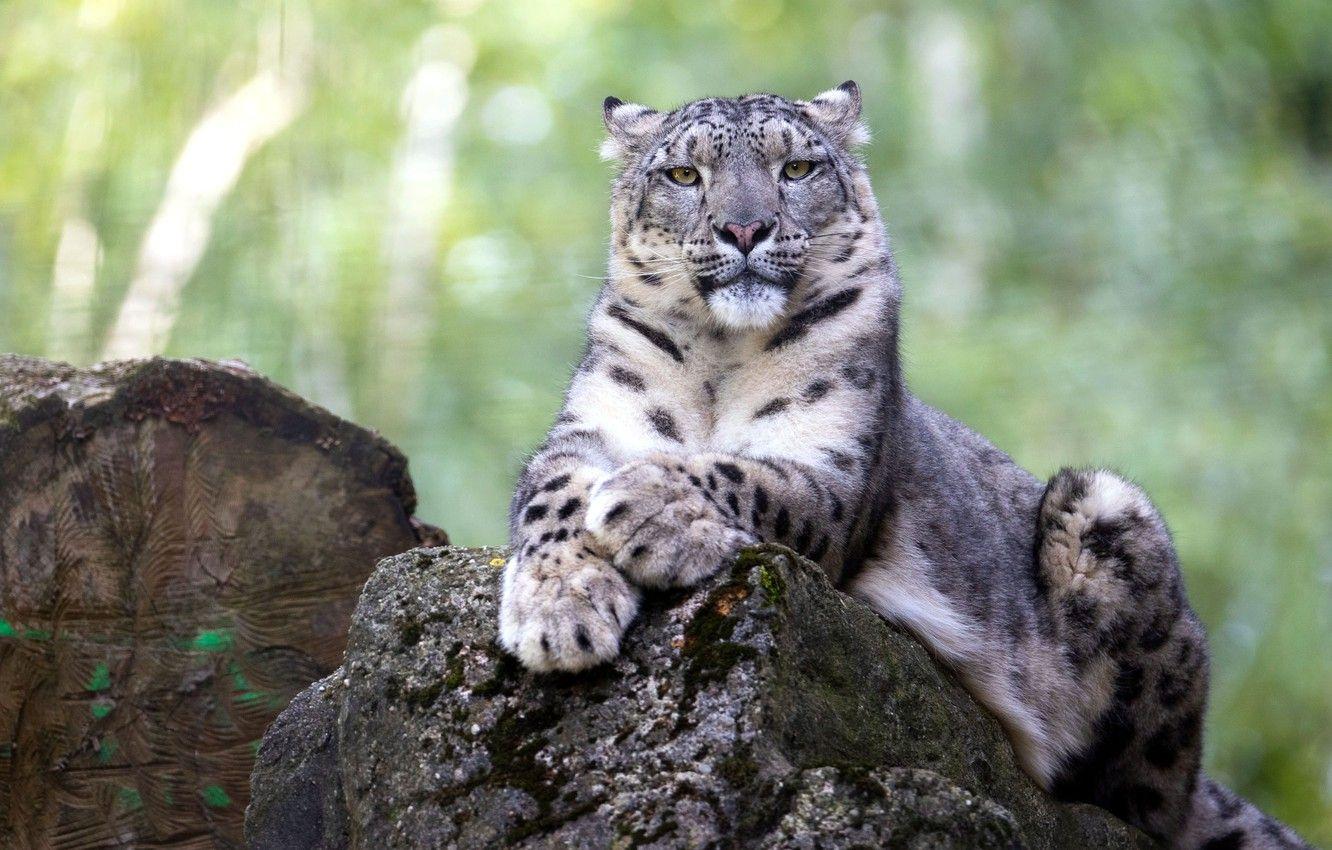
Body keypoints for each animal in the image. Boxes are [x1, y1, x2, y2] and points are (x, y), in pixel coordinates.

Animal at [496, 81, 1312, 849]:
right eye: (683, 173)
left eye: (796, 168)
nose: (746, 228)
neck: (718, 360)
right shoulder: (588, 428)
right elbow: (551, 495)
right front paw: (561, 610)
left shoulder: (833, 467)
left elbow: (751, 476)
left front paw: (652, 511)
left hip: (1110, 513)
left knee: (1144, 800)